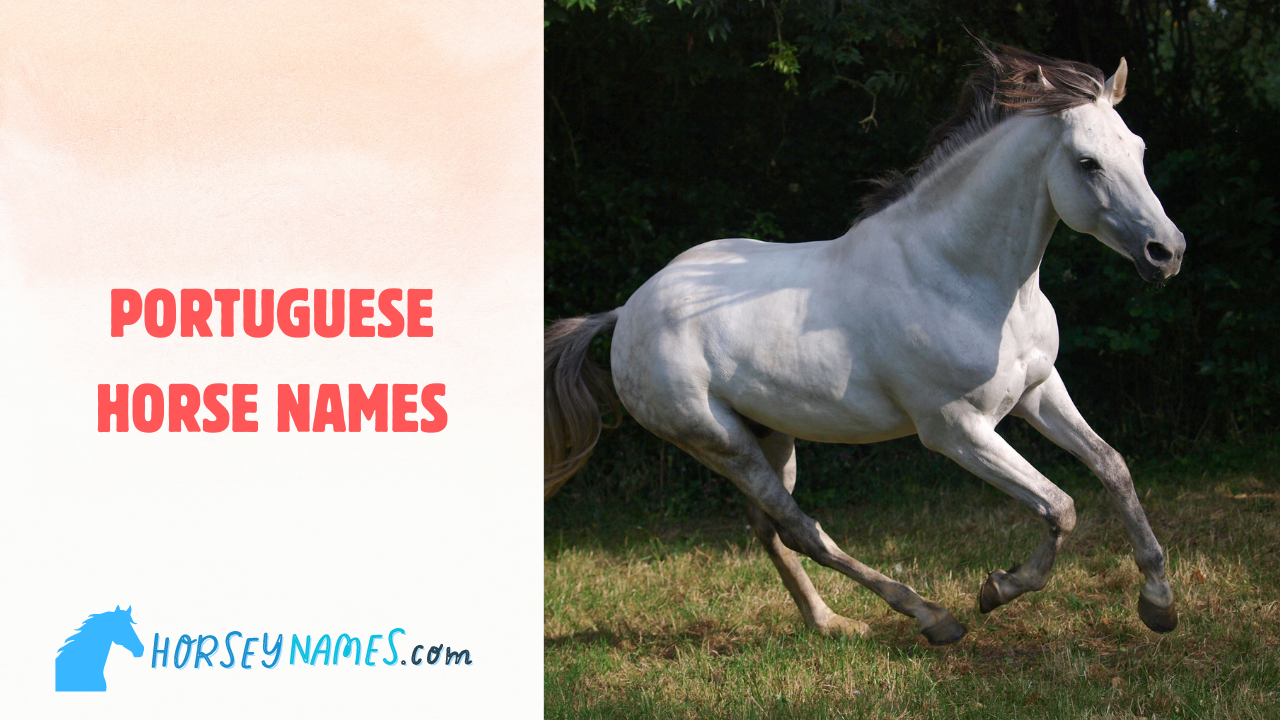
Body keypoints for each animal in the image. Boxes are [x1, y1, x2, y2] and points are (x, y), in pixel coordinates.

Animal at [545, 45, 1184, 646]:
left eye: (1139, 149)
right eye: (1087, 163)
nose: (1167, 252)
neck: (960, 275)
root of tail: (627, 311)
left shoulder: (1039, 391)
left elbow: (1113, 467)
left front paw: (1159, 603)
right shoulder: (957, 430)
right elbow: (1060, 506)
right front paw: (998, 589)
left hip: (770, 437)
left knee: (769, 530)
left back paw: (831, 623)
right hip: (719, 443)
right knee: (804, 531)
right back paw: (931, 617)